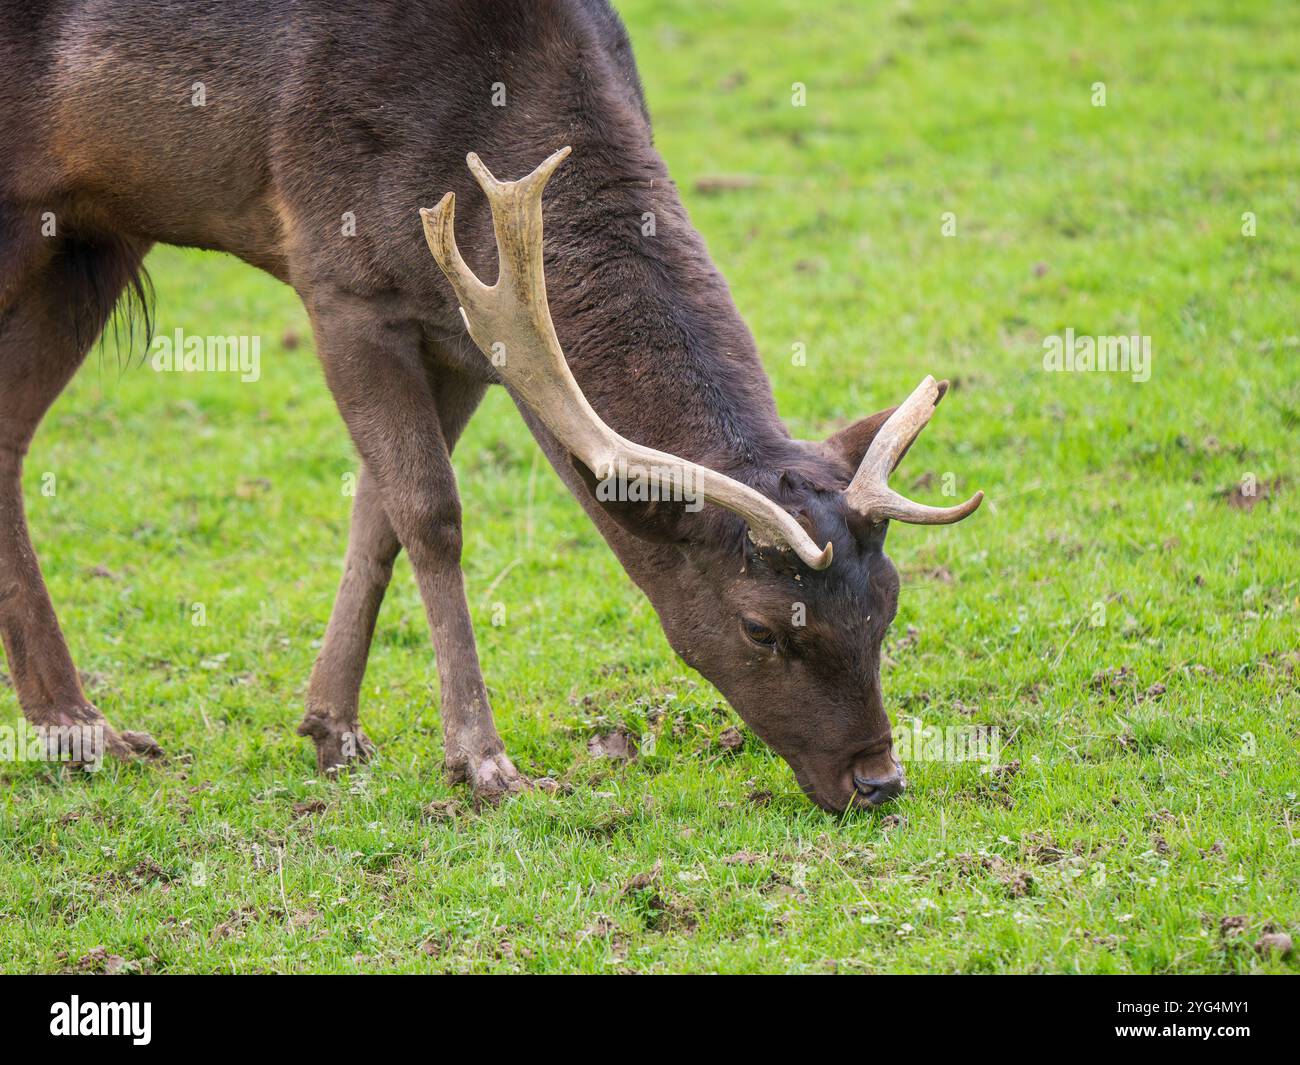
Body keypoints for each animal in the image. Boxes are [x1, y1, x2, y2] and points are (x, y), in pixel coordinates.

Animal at [0, 0, 981, 812]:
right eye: (762, 627)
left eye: (890, 601)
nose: (877, 780)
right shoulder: (340, 283)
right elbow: (431, 513)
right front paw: (482, 760)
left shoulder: (463, 328)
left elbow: (377, 513)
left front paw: (331, 728)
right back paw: (79, 723)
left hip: (95, 232)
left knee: (10, 433)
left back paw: (75, 726)